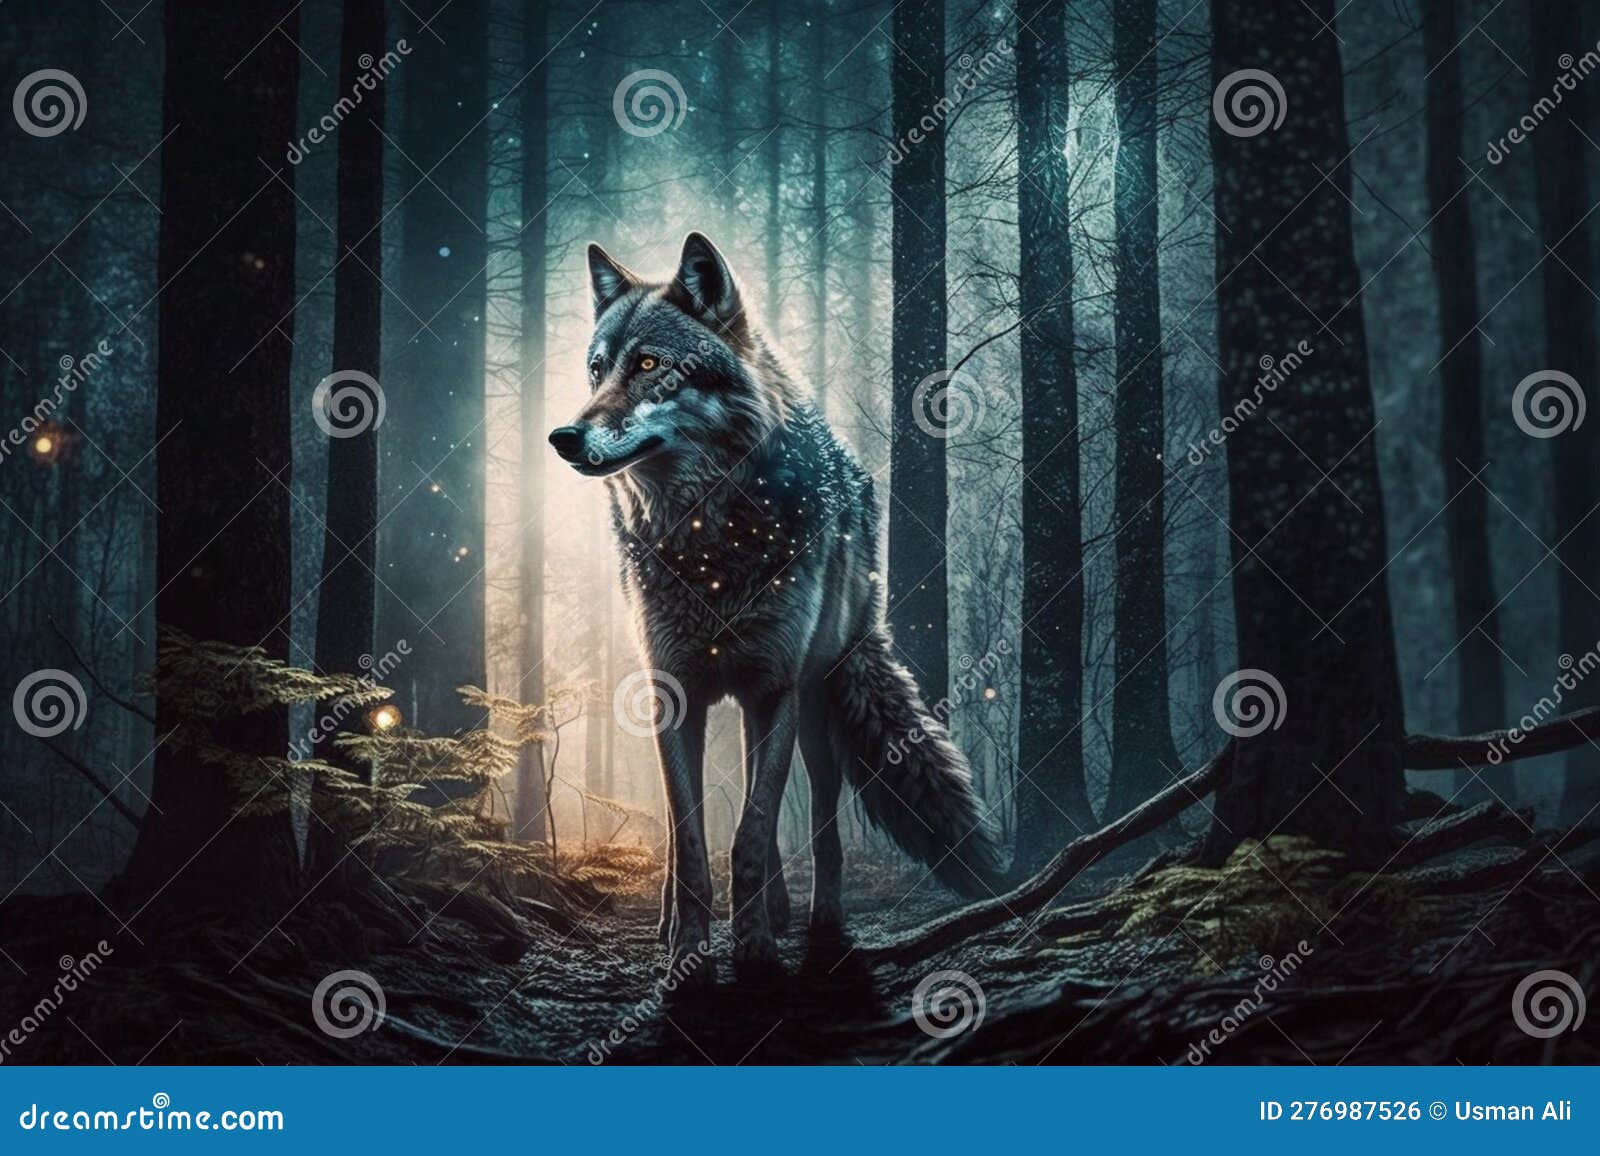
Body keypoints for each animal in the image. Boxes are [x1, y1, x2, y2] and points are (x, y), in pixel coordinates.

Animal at [550, 233, 1000, 978]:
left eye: (648, 365)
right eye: (595, 370)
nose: (563, 438)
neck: (709, 548)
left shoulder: (775, 689)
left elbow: (754, 831)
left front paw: (756, 949)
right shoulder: (675, 693)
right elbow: (692, 839)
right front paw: (688, 950)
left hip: (814, 706)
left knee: (817, 821)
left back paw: (817, 922)